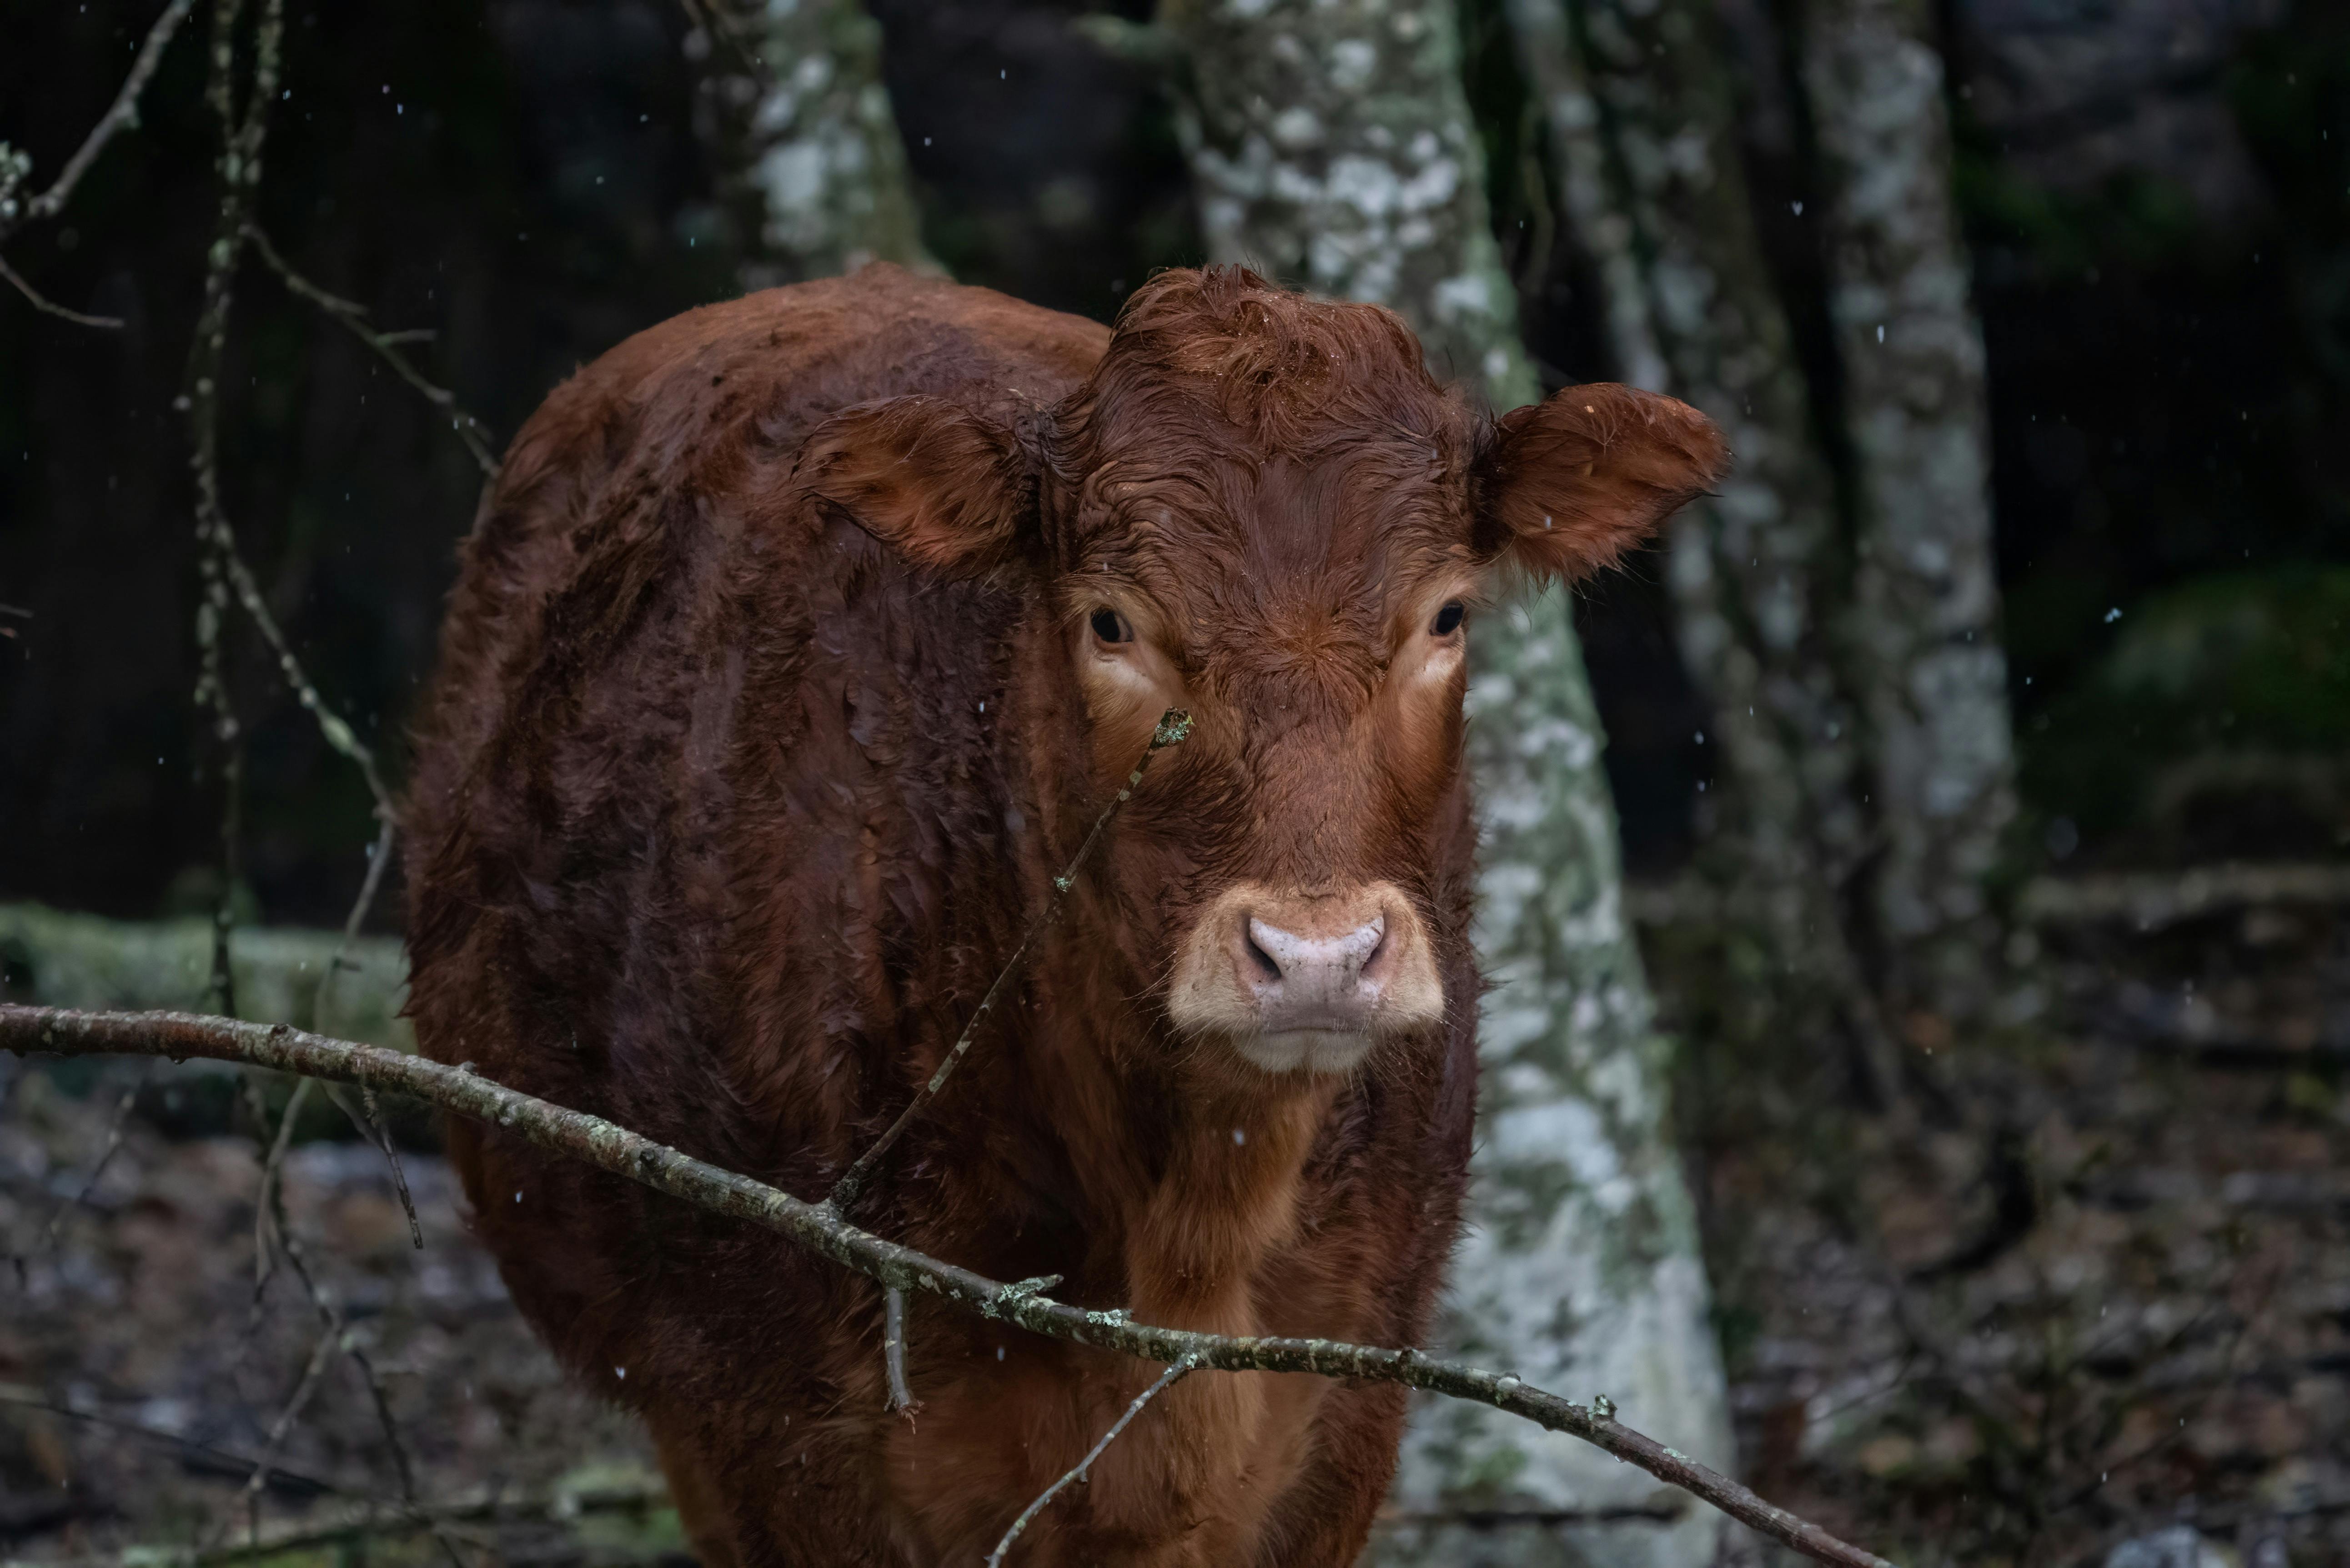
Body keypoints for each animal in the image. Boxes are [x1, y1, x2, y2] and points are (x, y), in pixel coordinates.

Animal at [402, 263, 1726, 1567]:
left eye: (1446, 615)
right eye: (1112, 620)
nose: (1316, 957)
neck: (1189, 1228)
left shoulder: (1348, 1410)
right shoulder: (771, 1426)